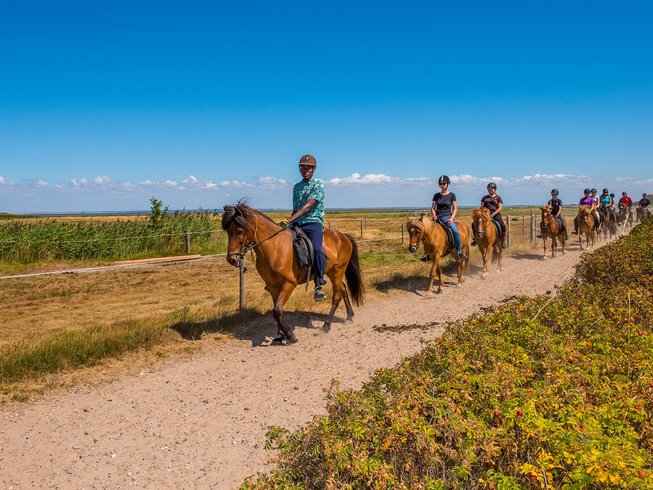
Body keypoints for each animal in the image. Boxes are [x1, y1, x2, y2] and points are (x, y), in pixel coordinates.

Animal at [222, 201, 364, 343]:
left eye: (239, 230)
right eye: (228, 231)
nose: (232, 259)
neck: (275, 247)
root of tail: (343, 236)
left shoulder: (289, 283)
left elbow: (277, 310)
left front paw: (290, 335)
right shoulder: (272, 286)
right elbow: (277, 310)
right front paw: (280, 335)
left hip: (338, 270)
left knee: (337, 296)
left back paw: (326, 325)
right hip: (331, 272)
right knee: (343, 289)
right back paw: (349, 317)